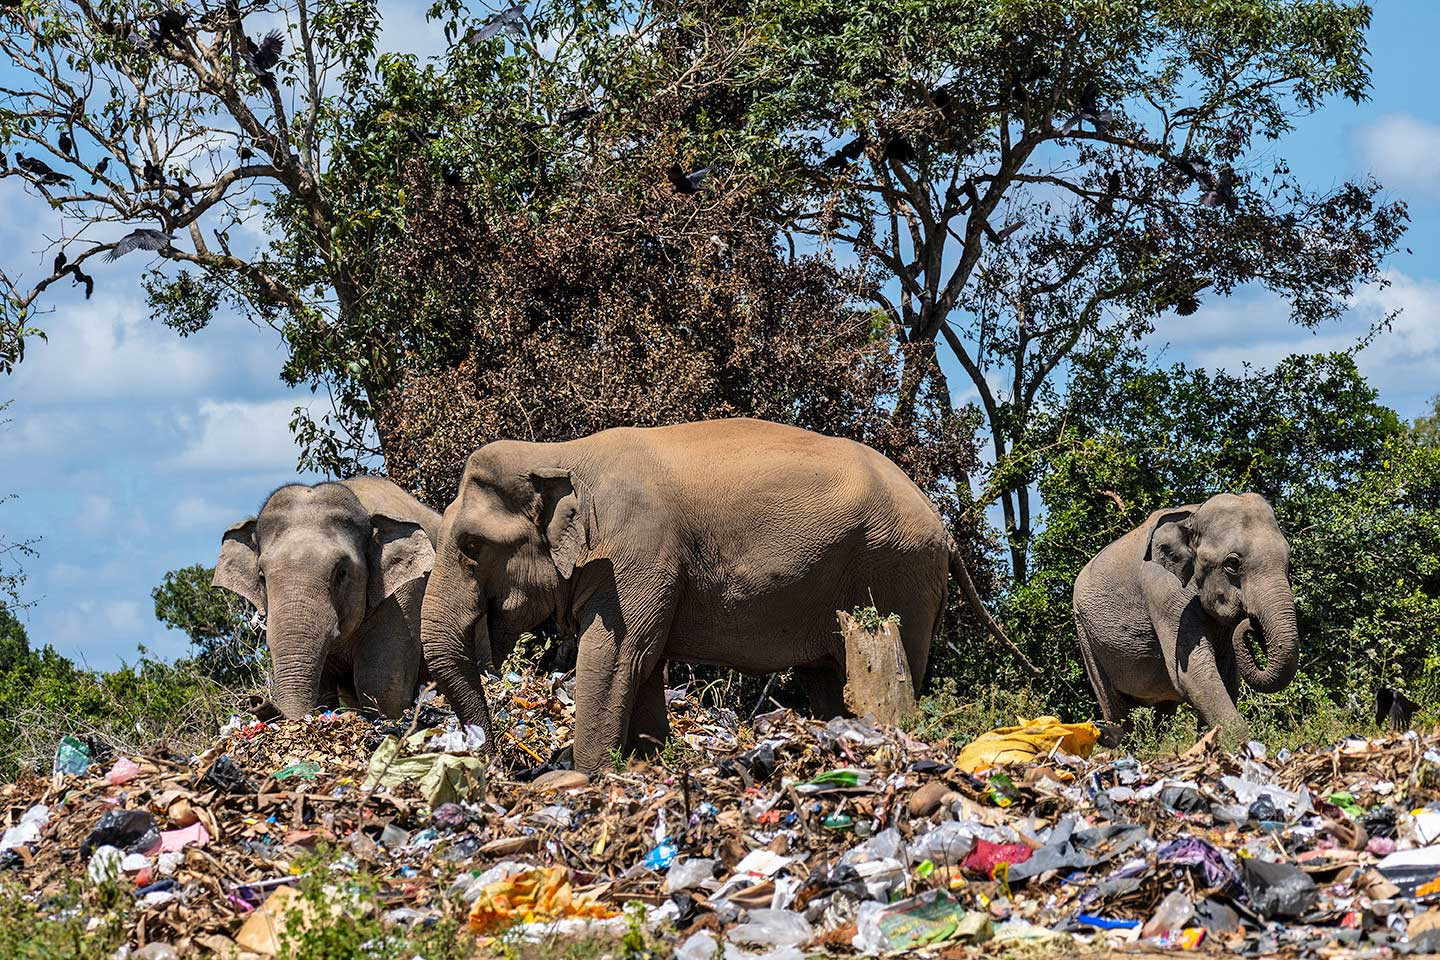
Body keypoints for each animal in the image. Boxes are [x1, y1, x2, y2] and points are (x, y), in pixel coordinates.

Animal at [213, 476, 440, 719]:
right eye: (262, 576)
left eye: (341, 572)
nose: (255, 701)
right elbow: (323, 691)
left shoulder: (404, 598)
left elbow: (381, 689)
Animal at [420, 417, 1029, 774]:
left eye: (471, 546)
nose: (502, 763)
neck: (560, 452)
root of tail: (942, 523)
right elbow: (644, 664)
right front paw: (649, 763)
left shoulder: (638, 553)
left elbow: (617, 656)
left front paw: (585, 775)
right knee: (826, 678)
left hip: (899, 572)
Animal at [1072, 492, 1300, 733]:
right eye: (1232, 563)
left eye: (1288, 560)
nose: (1251, 624)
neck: (1193, 516)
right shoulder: (1165, 593)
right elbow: (1191, 674)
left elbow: (1227, 675)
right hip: (1085, 634)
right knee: (1115, 709)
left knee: (1164, 711)